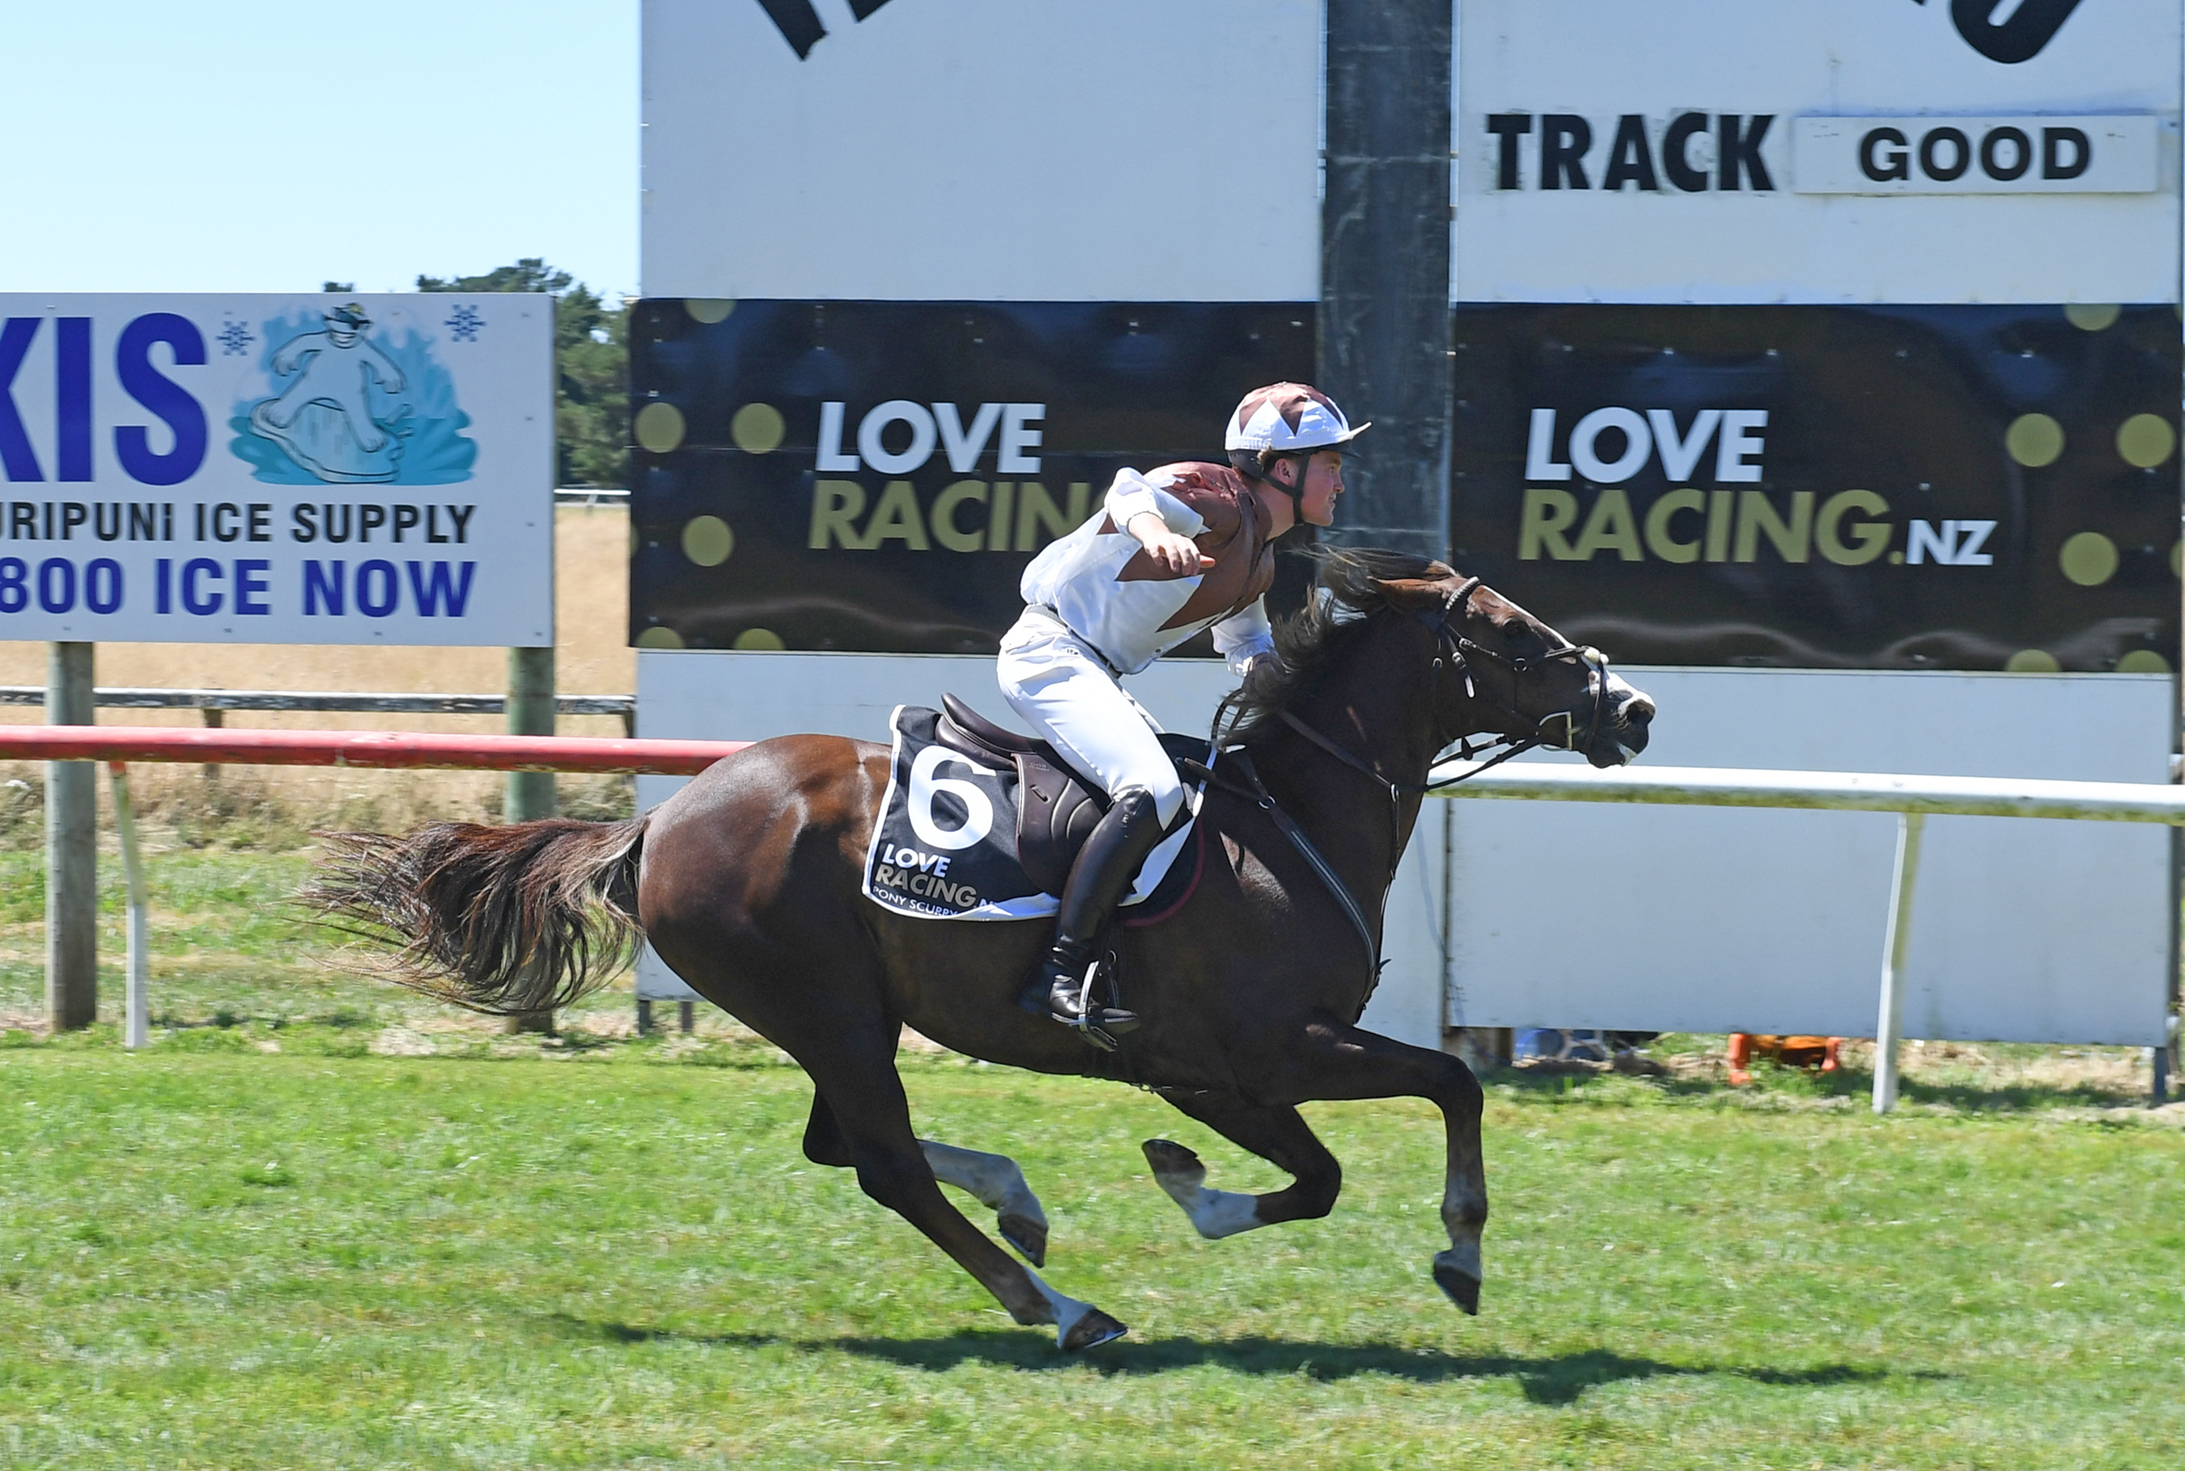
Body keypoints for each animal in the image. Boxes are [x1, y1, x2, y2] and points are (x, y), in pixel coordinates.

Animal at [312, 549, 1655, 1352]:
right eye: (1514, 632)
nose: (1632, 707)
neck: (1292, 819)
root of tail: (664, 817)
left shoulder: (1229, 1071)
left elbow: (1333, 1165)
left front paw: (1191, 1187)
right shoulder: (1256, 1054)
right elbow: (1444, 1085)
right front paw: (1456, 1243)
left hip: (839, 1014)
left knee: (848, 1147)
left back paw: (1020, 1207)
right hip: (829, 1007)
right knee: (886, 1163)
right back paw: (1057, 1307)